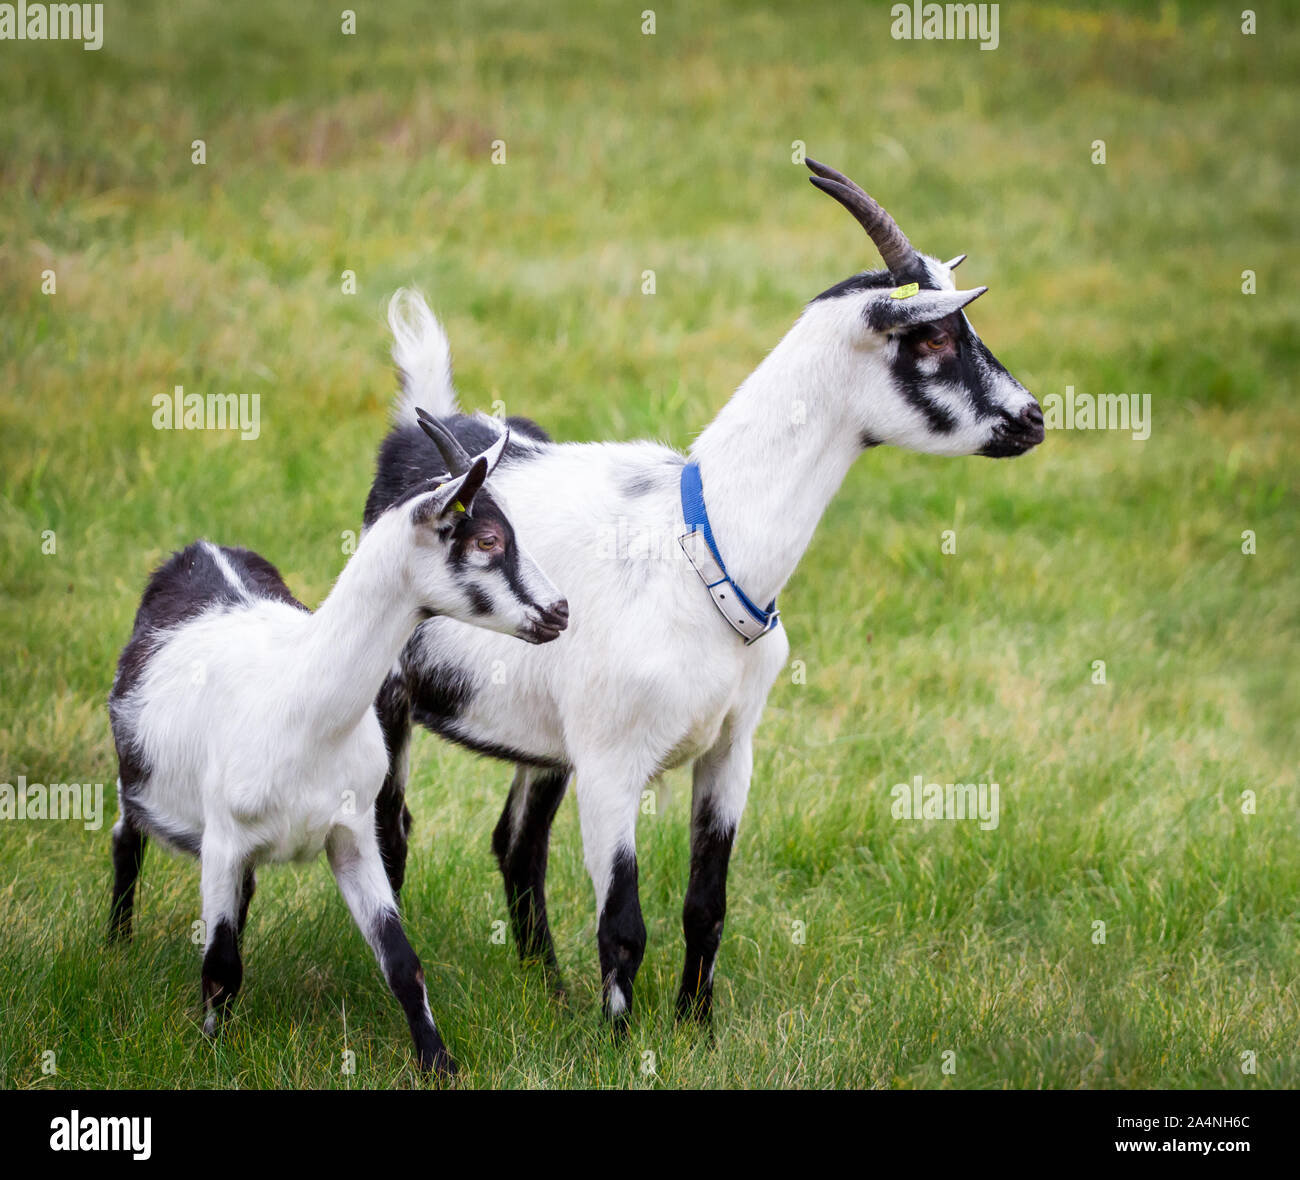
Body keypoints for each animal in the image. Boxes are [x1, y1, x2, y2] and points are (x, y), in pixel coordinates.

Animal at [107, 419, 568, 1076]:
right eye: (487, 540)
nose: (559, 612)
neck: (300, 706)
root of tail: (202, 549)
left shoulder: (350, 833)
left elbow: (402, 962)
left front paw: (439, 1063)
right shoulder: (222, 839)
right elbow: (220, 966)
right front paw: (211, 1054)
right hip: (135, 779)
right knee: (126, 839)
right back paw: (116, 946)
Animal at [365, 159, 1044, 1033]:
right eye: (932, 336)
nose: (1032, 418)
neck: (700, 548)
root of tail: (419, 426)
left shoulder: (731, 746)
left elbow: (706, 905)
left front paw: (697, 1028)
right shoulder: (613, 760)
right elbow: (623, 925)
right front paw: (622, 1042)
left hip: (542, 736)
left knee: (516, 844)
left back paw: (547, 990)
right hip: (390, 699)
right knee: (392, 833)